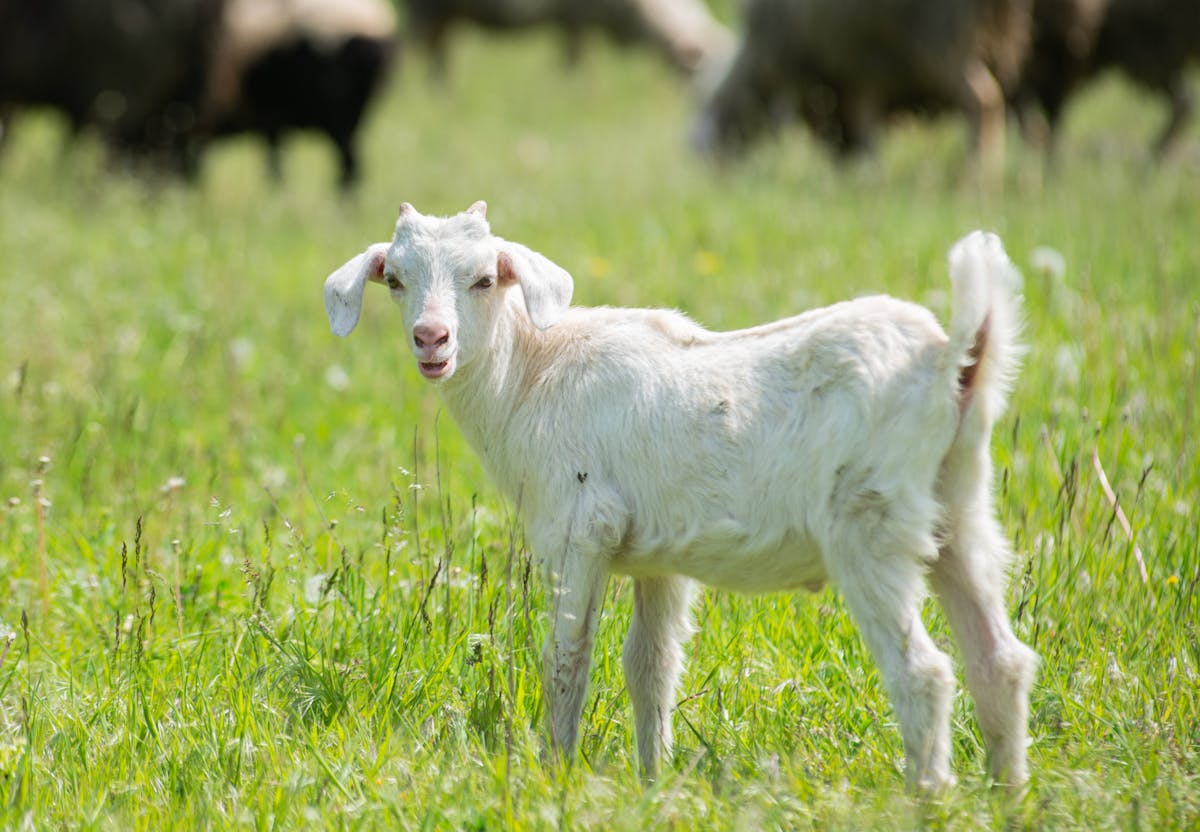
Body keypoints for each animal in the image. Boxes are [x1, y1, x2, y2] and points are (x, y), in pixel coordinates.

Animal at [323, 202, 1038, 789]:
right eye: (396, 279)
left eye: (483, 280)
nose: (432, 340)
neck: (529, 377)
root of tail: (951, 361)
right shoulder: (658, 558)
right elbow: (651, 666)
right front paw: (653, 780)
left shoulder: (578, 528)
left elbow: (567, 658)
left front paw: (556, 777)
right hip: (960, 512)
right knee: (999, 660)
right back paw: (1006, 796)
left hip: (870, 526)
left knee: (924, 673)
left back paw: (928, 797)